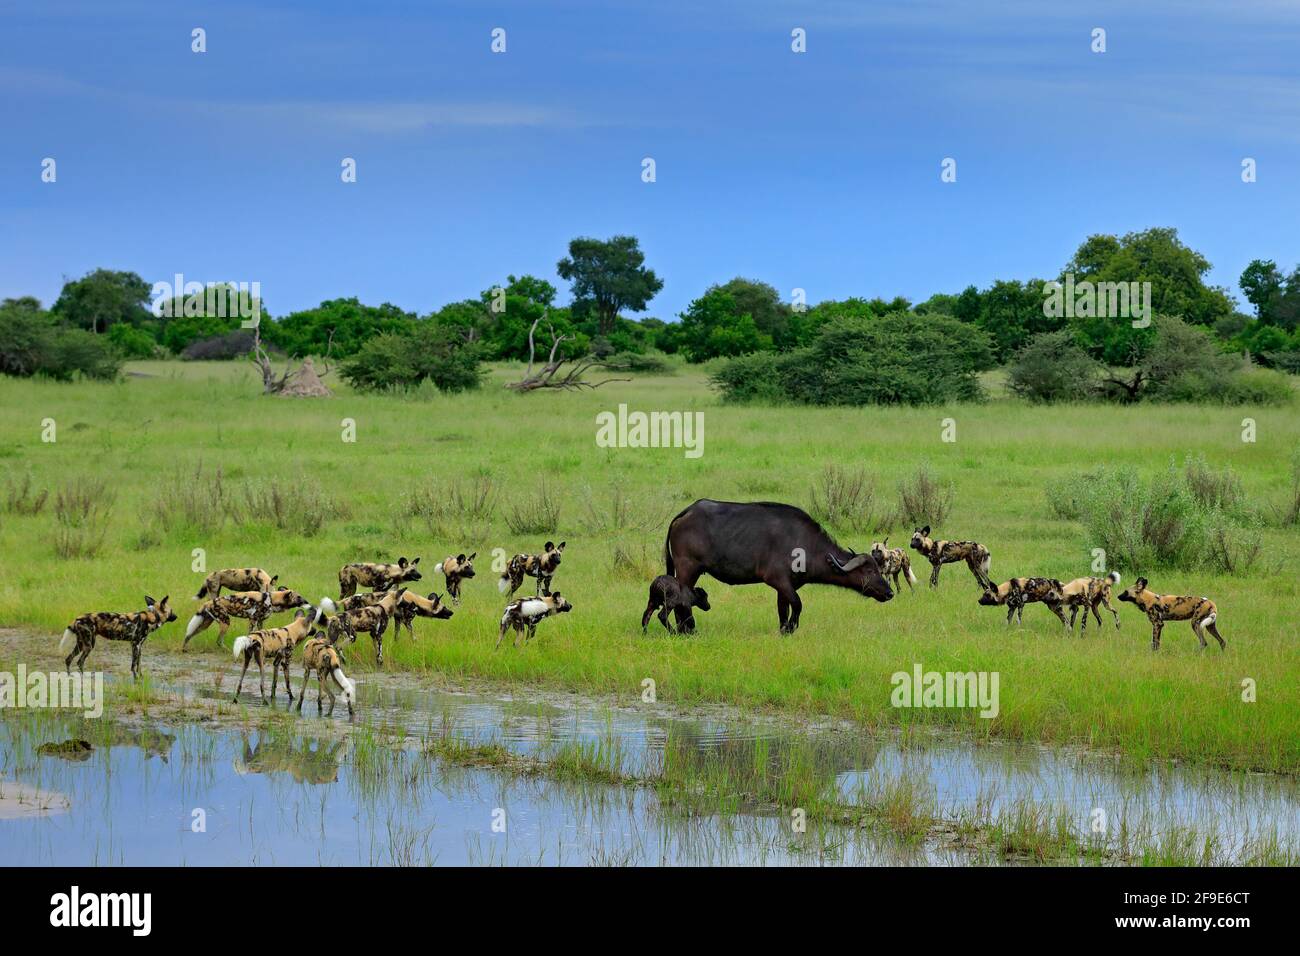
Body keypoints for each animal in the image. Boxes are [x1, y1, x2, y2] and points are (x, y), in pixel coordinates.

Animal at [663, 499, 892, 634]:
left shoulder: (785, 587)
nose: (890, 593)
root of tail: (686, 512)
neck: (805, 545)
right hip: (688, 569)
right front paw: (791, 628)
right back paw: (685, 630)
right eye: (870, 570)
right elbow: (798, 604)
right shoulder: (777, 580)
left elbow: (783, 609)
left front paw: (784, 630)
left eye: (879, 568)